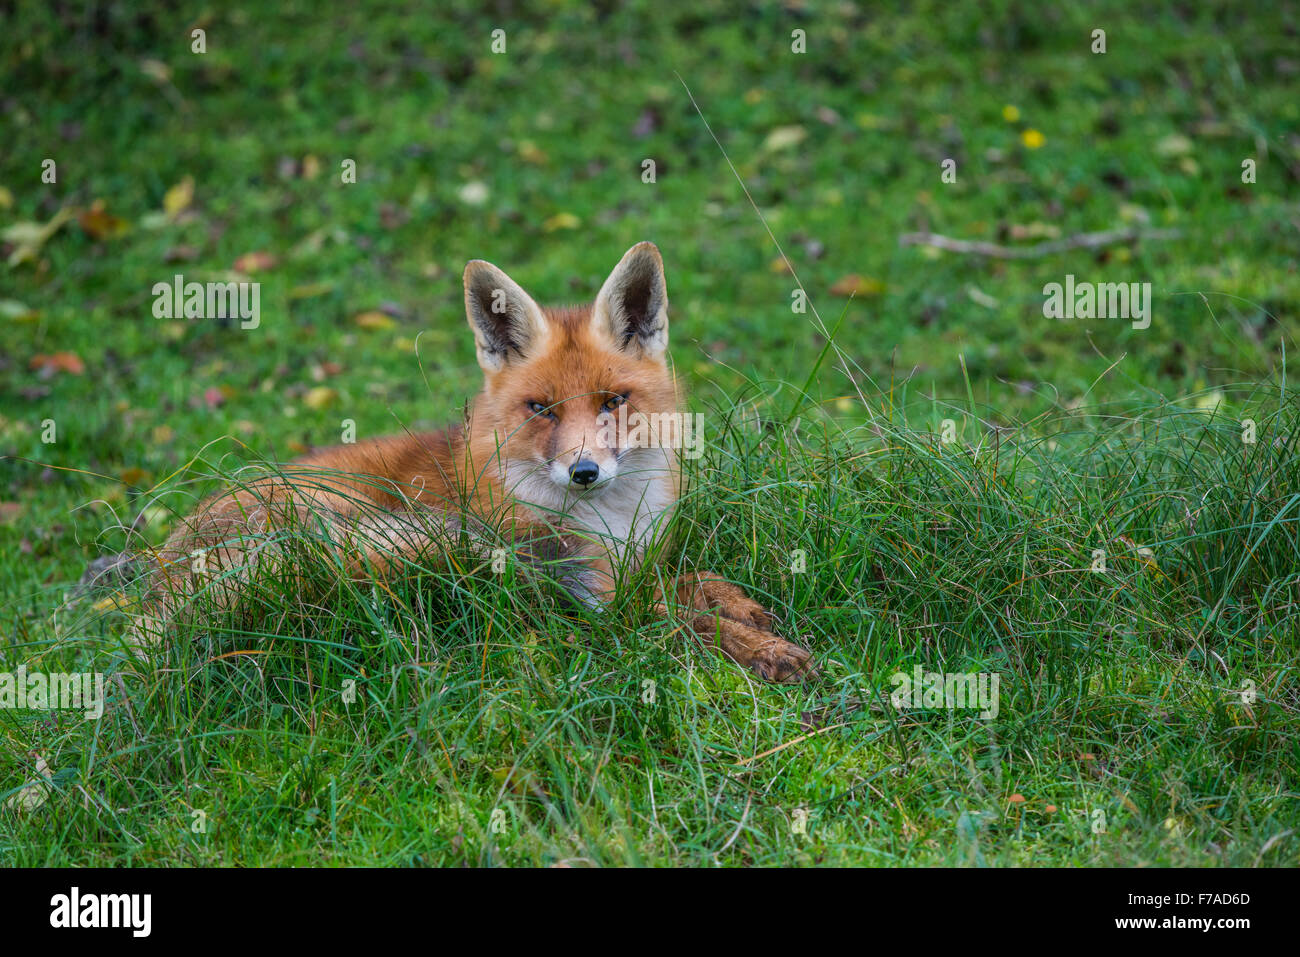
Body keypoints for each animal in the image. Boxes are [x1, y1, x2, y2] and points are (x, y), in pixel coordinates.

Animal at [131, 242, 816, 683]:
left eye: (613, 401)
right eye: (541, 408)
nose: (584, 473)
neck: (613, 524)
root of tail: (159, 577)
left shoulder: (632, 563)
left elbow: (692, 580)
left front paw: (742, 606)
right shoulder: (595, 598)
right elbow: (677, 615)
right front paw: (763, 647)